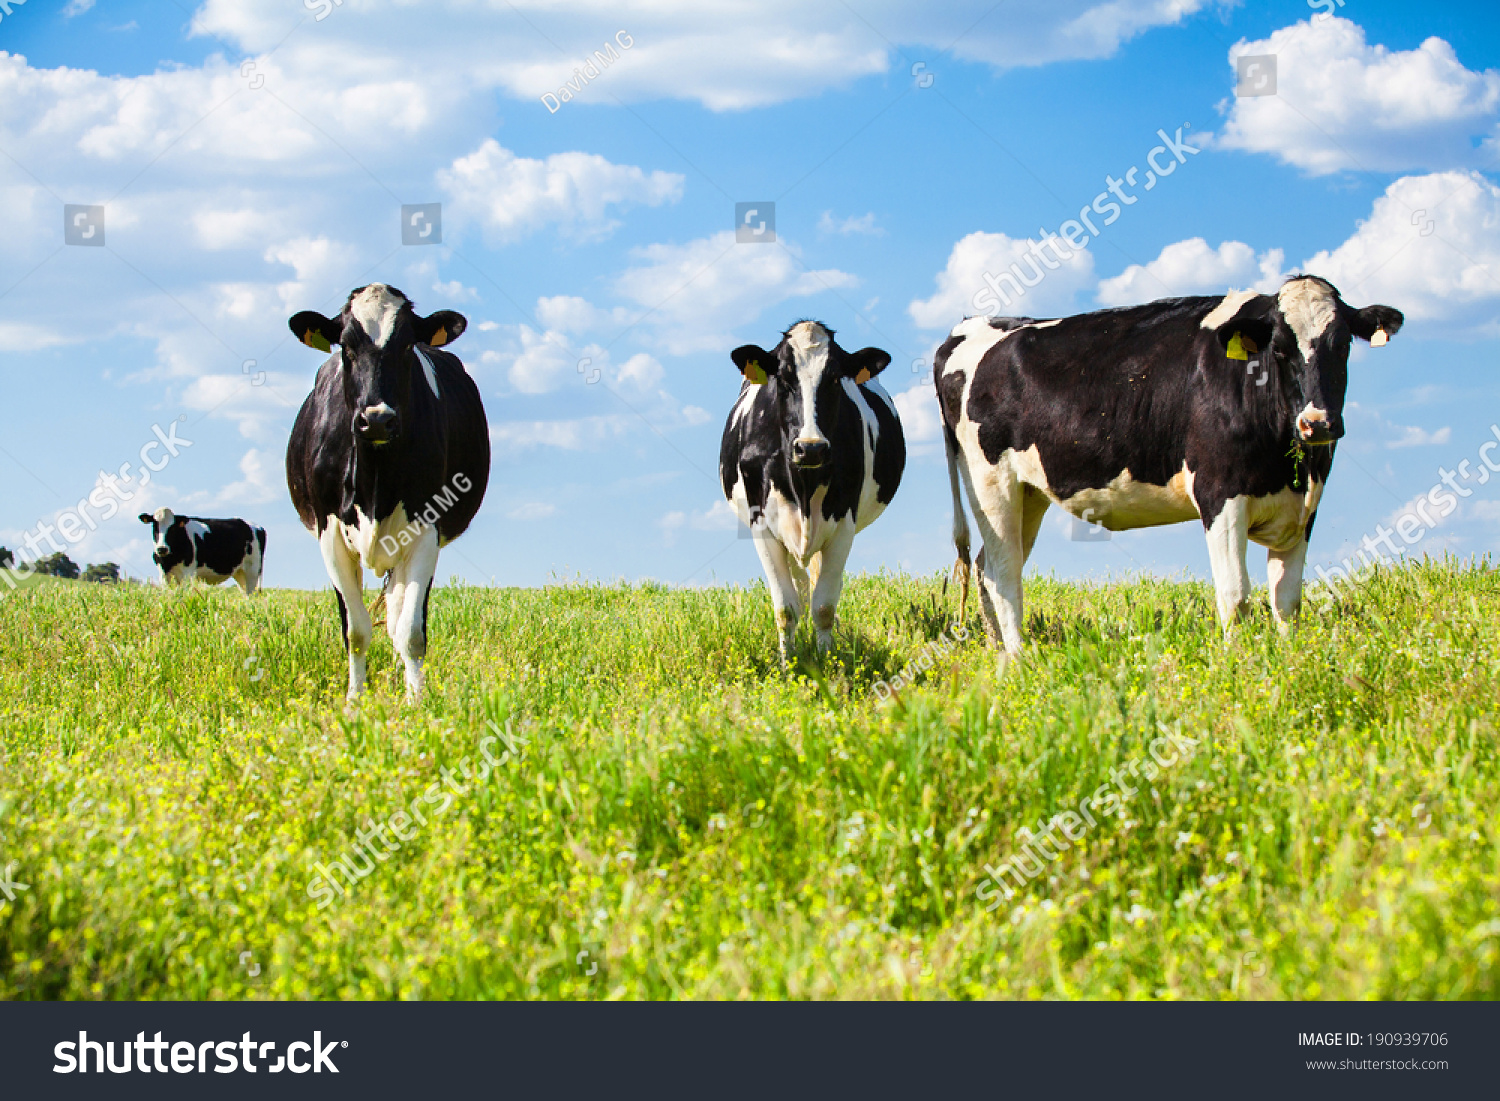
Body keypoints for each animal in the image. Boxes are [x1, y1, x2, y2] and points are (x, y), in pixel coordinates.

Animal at [285, 284, 489, 701]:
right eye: (346, 346)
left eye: (408, 345)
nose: (377, 419)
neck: (374, 484)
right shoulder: (330, 534)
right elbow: (356, 630)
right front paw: (354, 699)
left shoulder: (426, 530)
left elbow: (410, 632)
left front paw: (416, 701)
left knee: (397, 616)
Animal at [721, 320, 905, 663]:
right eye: (782, 377)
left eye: (834, 378)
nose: (811, 448)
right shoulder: (761, 524)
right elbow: (786, 608)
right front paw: (788, 664)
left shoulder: (844, 522)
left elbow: (824, 606)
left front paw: (827, 660)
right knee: (800, 585)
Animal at [936, 275, 1403, 655]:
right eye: (1281, 351)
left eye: (1341, 345)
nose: (1317, 422)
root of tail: (970, 325)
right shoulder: (1219, 494)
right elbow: (1235, 594)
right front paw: (1241, 666)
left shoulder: (1304, 507)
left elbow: (1287, 600)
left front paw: (1290, 663)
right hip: (991, 483)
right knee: (1003, 572)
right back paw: (1018, 659)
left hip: (1030, 494)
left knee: (988, 566)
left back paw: (997, 652)